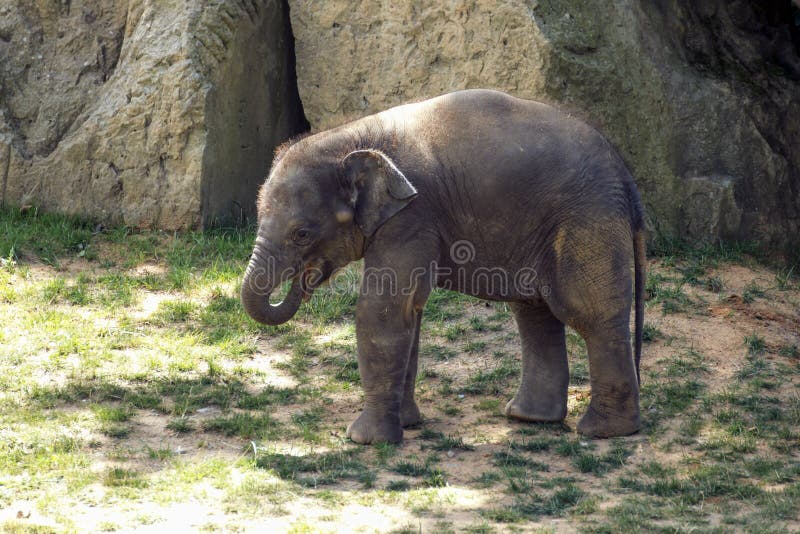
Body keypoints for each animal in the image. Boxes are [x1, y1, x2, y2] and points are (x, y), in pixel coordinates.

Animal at [241, 89, 646, 444]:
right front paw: (407, 424)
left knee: (589, 313)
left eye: (301, 234)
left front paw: (363, 440)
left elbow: (383, 310)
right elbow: (410, 310)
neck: (352, 137)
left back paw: (603, 432)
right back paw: (529, 418)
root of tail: (625, 175)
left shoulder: (412, 216)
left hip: (586, 218)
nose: (304, 281)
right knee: (534, 310)